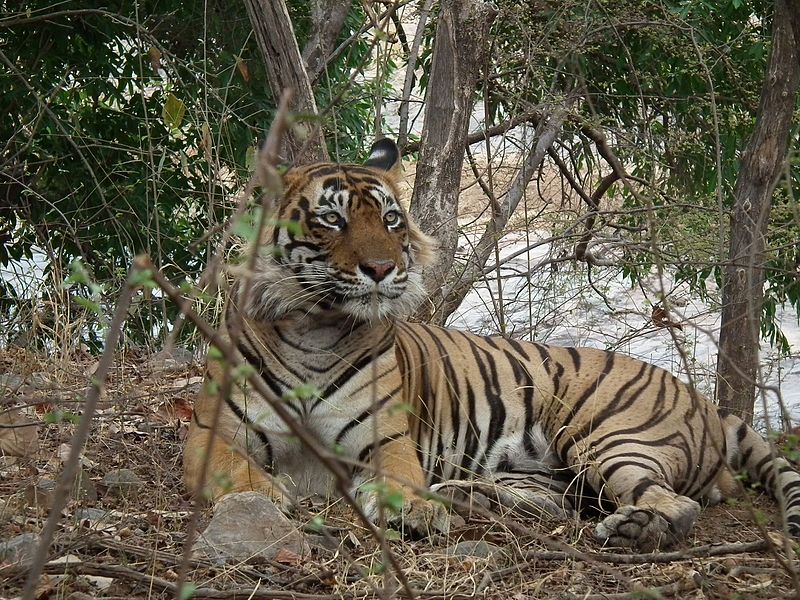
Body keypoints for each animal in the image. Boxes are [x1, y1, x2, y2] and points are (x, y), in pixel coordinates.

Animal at [184, 137, 800, 551]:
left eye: (391, 219)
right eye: (331, 221)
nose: (382, 269)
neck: (317, 328)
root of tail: (705, 402)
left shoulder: (385, 440)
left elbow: (399, 478)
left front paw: (414, 510)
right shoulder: (211, 433)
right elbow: (239, 473)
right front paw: (267, 498)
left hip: (607, 436)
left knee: (676, 503)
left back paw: (632, 529)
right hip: (547, 471)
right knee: (558, 501)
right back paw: (463, 494)